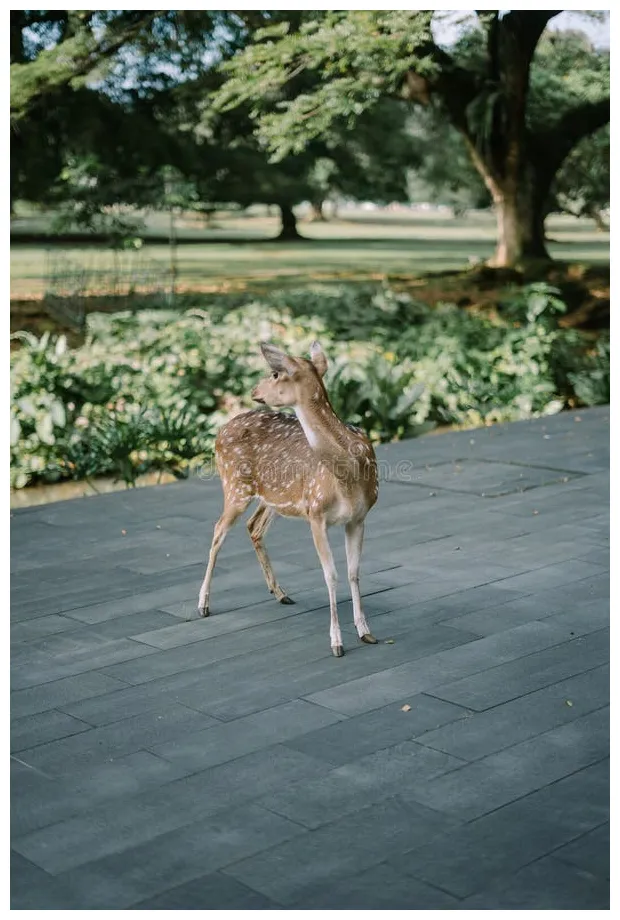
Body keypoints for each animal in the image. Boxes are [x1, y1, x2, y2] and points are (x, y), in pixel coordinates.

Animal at [197, 341, 379, 657]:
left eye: (274, 373)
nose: (254, 390)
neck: (348, 475)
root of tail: (220, 430)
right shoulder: (316, 513)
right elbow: (331, 575)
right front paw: (336, 642)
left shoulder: (358, 517)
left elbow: (353, 572)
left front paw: (365, 631)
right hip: (235, 486)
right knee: (219, 529)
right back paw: (203, 604)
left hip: (274, 497)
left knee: (254, 526)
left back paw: (280, 593)